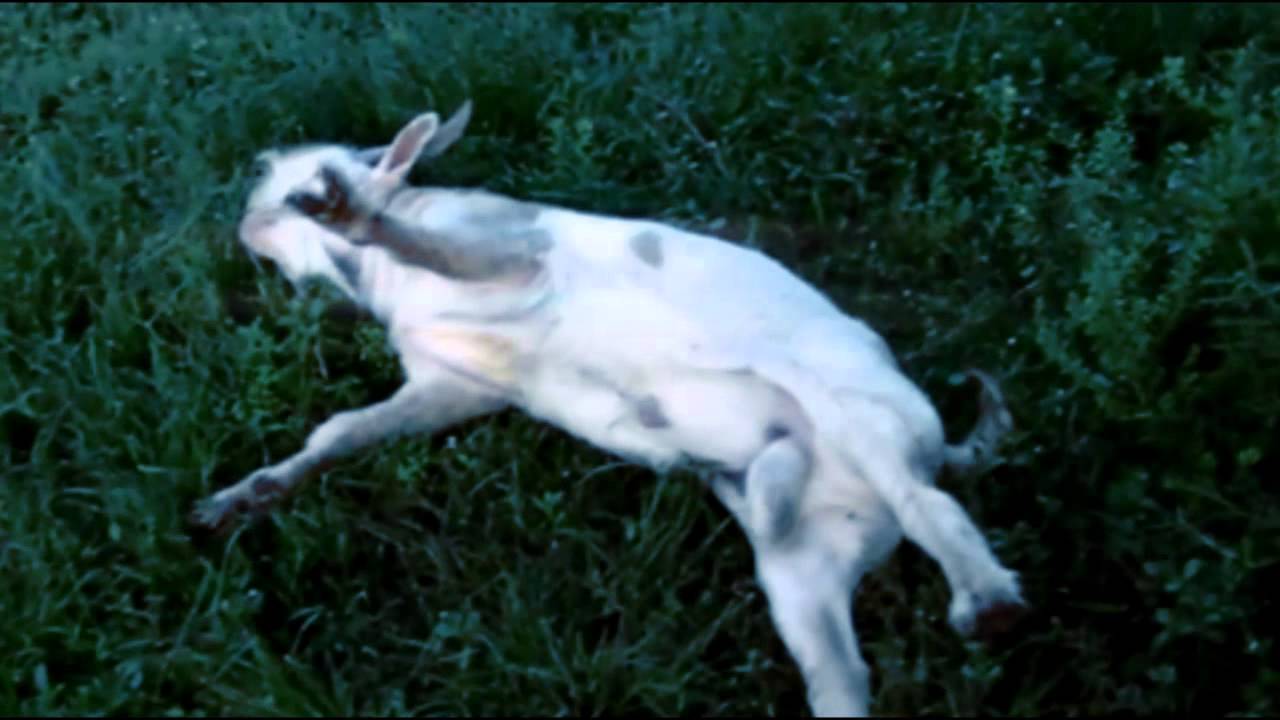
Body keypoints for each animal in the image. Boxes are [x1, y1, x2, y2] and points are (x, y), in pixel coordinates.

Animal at [193, 101, 1026, 717]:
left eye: (295, 182)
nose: (245, 223)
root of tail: (938, 446)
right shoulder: (448, 386)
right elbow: (342, 431)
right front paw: (241, 498)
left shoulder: (512, 259)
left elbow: (419, 241)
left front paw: (352, 215)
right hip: (804, 568)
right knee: (840, 677)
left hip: (851, 406)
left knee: (926, 504)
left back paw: (986, 598)